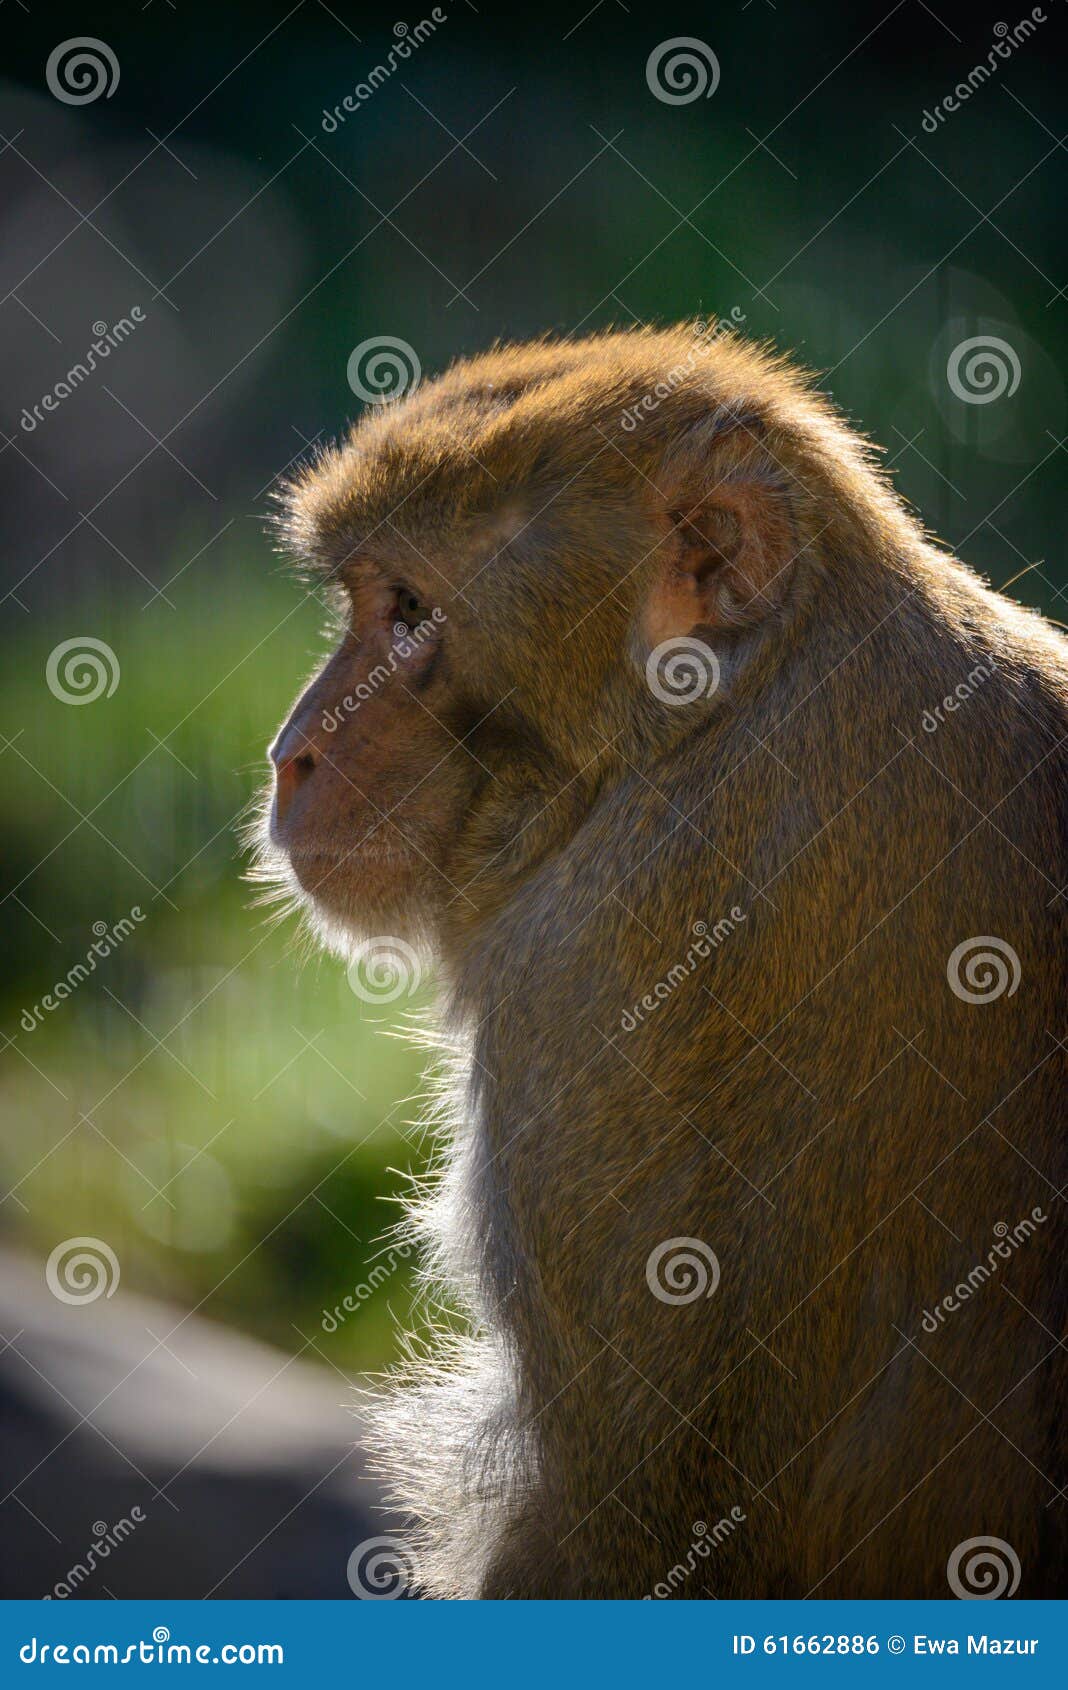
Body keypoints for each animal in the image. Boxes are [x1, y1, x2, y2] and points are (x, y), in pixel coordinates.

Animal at [256, 325, 1067, 1599]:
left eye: (411, 611)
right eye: (364, 603)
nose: (291, 755)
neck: (709, 720)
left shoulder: (585, 971)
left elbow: (630, 1504)